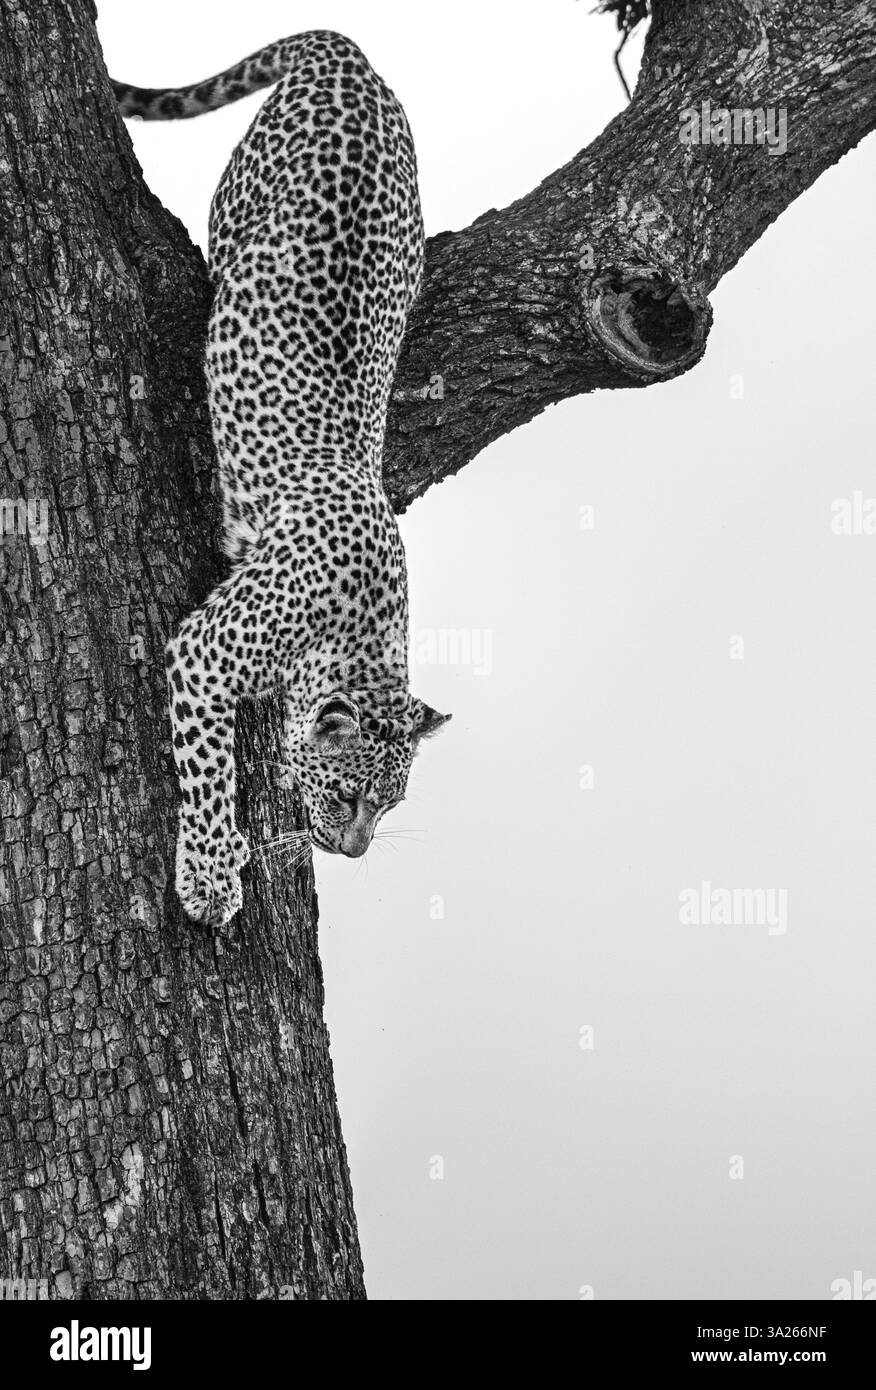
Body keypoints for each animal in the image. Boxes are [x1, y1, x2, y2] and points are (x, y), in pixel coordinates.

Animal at [113, 31, 450, 927]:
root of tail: (350, 54)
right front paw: (208, 873)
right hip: (239, 200)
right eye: (349, 797)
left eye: (391, 807)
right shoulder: (204, 654)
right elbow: (206, 769)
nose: (355, 852)